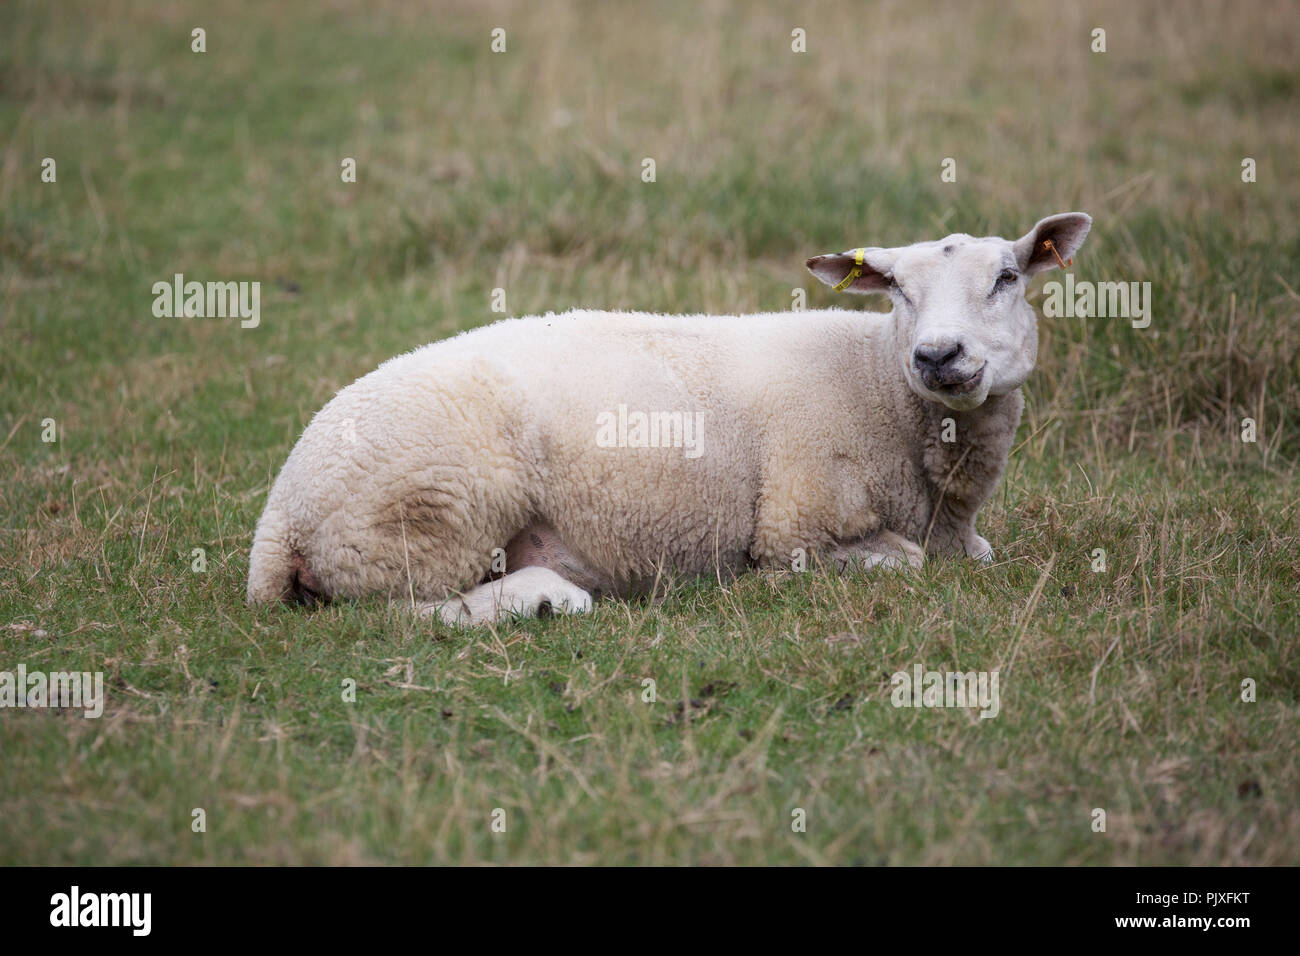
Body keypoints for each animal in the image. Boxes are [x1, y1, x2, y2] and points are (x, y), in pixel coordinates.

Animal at [247, 212, 1092, 625]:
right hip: (426, 512)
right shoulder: (795, 528)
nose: (938, 355)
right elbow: (902, 564)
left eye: (1008, 277)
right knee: (393, 611)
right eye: (898, 292)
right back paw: (544, 598)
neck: (877, 381)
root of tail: (278, 520)